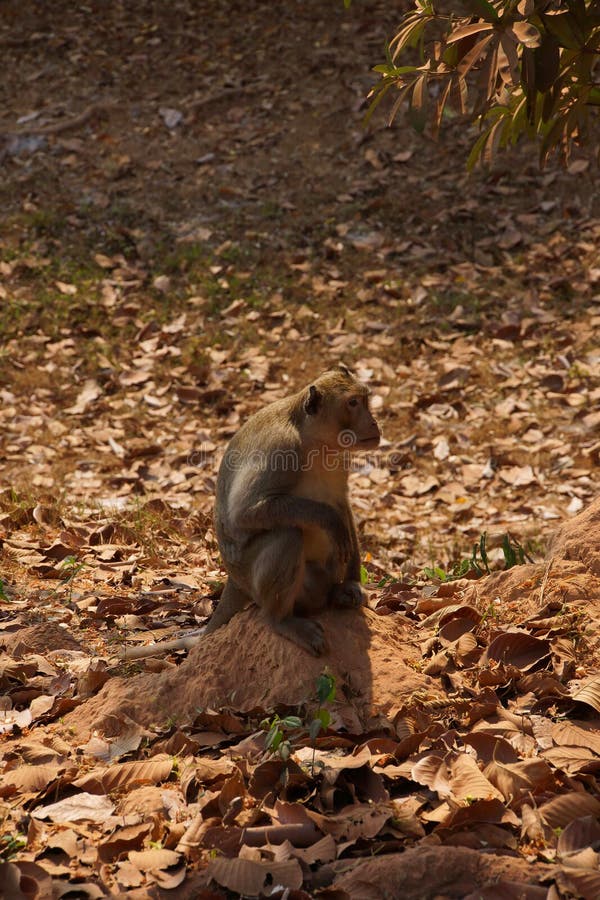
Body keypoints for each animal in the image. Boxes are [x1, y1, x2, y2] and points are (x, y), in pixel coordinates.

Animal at [119, 365, 380, 659]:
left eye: (364, 399)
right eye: (353, 403)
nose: (373, 423)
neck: (314, 439)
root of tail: (235, 581)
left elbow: (342, 504)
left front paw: (352, 583)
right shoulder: (282, 449)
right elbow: (244, 513)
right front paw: (330, 520)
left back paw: (338, 593)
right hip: (263, 582)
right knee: (287, 535)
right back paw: (281, 620)